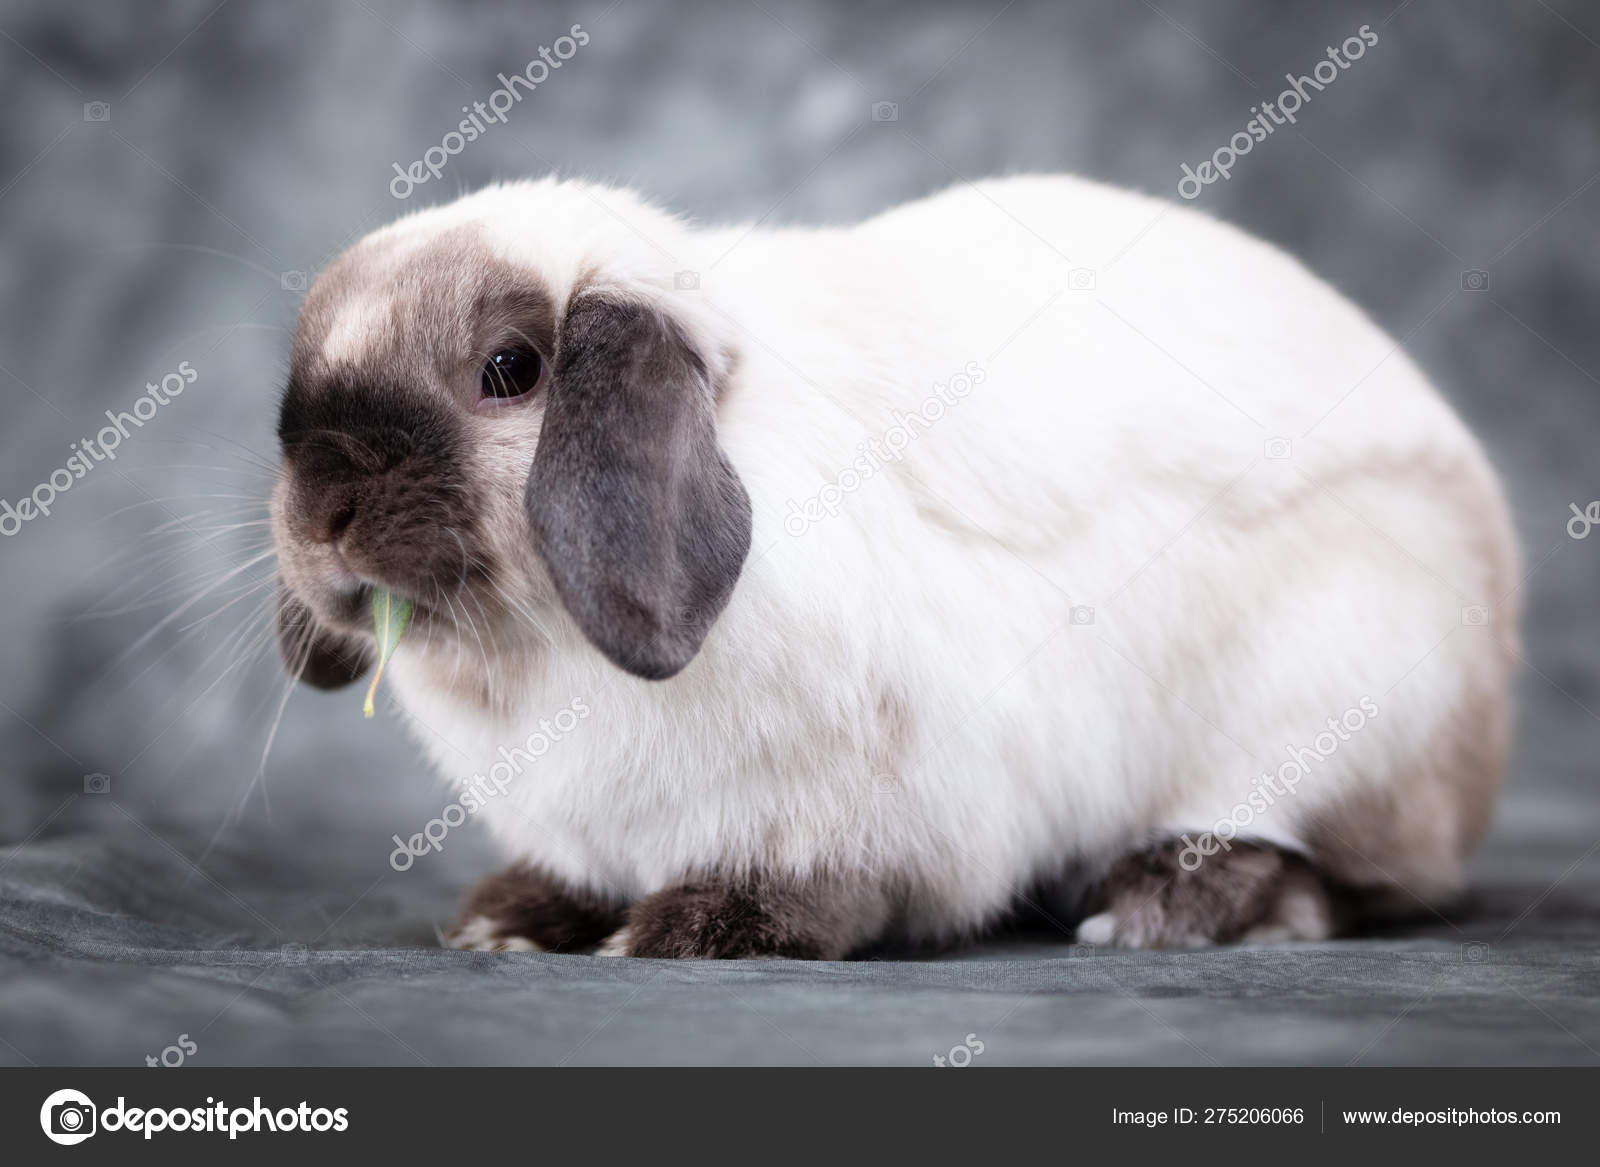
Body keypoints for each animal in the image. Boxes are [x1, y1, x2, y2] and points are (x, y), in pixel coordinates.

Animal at [270, 173, 1519, 958]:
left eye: (510, 369)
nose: (323, 512)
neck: (534, 660)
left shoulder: (860, 809)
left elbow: (822, 889)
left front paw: (690, 931)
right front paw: (511, 922)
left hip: (1323, 721)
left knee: (1320, 877)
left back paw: (1159, 906)